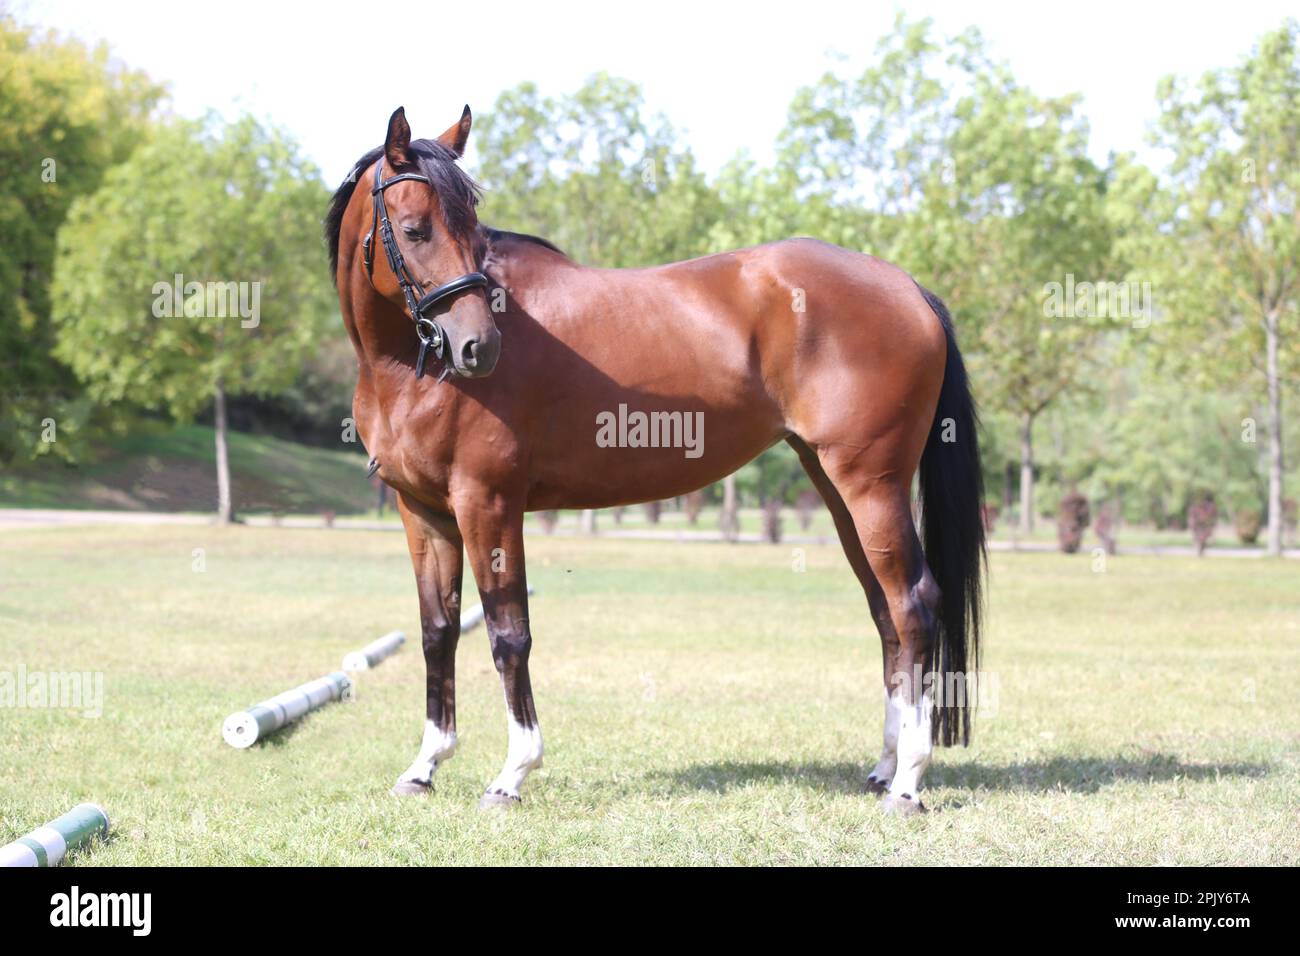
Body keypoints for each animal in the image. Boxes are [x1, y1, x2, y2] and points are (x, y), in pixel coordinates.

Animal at [324, 106, 985, 815]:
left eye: (473, 231)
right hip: (837, 490)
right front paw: (424, 766)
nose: (479, 347)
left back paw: (910, 781)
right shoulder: (423, 512)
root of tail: (908, 288)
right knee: (886, 613)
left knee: (914, 605)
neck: (408, 369)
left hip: (871, 486)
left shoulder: (488, 502)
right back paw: (885, 768)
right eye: (415, 229)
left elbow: (508, 634)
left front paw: (512, 774)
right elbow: (438, 632)